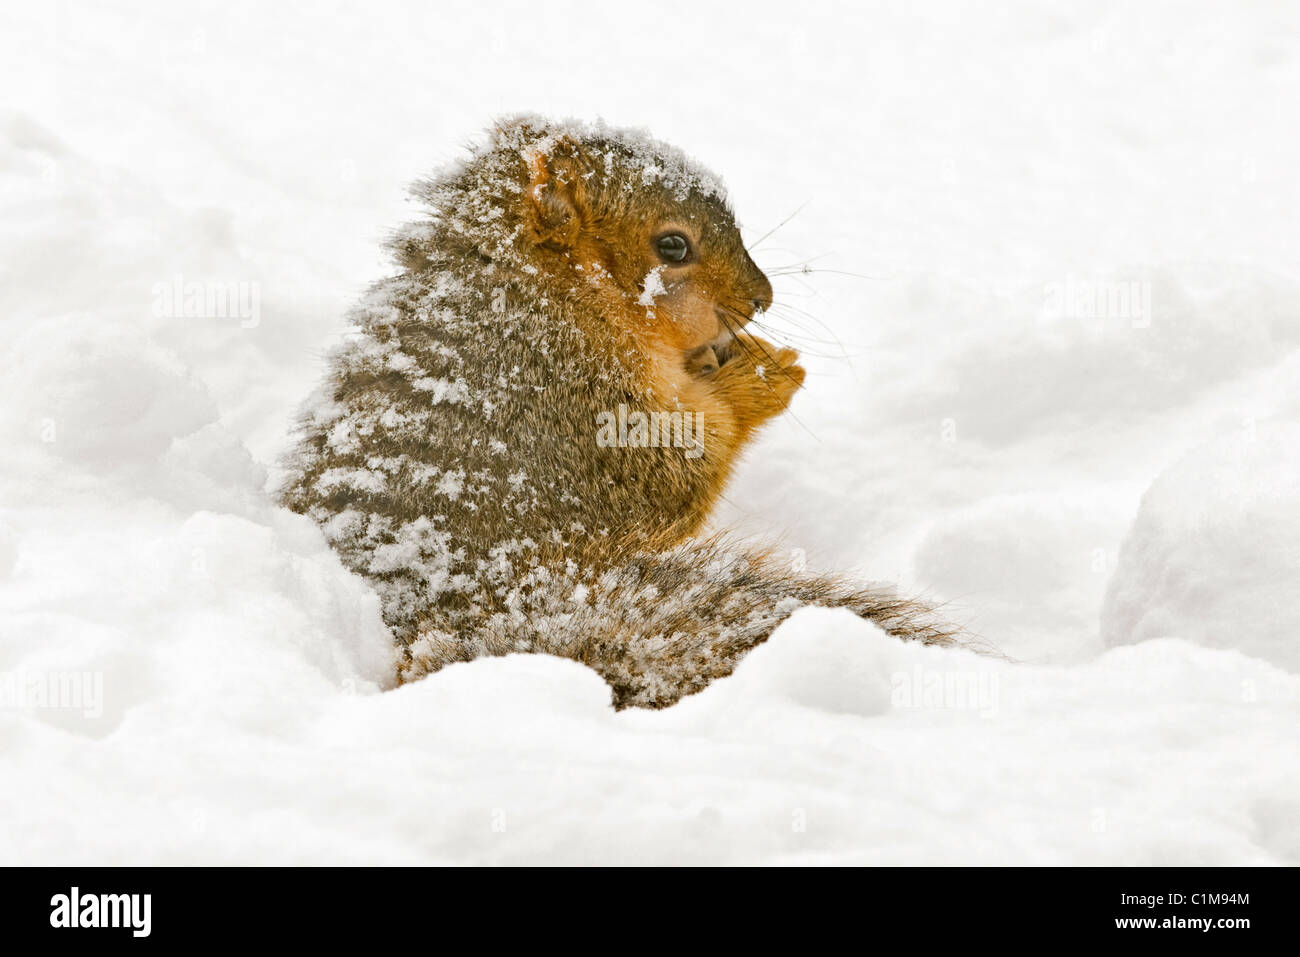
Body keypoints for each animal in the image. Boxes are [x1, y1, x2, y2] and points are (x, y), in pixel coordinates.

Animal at [279, 117, 957, 708]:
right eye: (673, 245)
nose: (761, 301)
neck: (555, 295)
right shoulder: (566, 397)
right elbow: (665, 471)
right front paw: (760, 377)